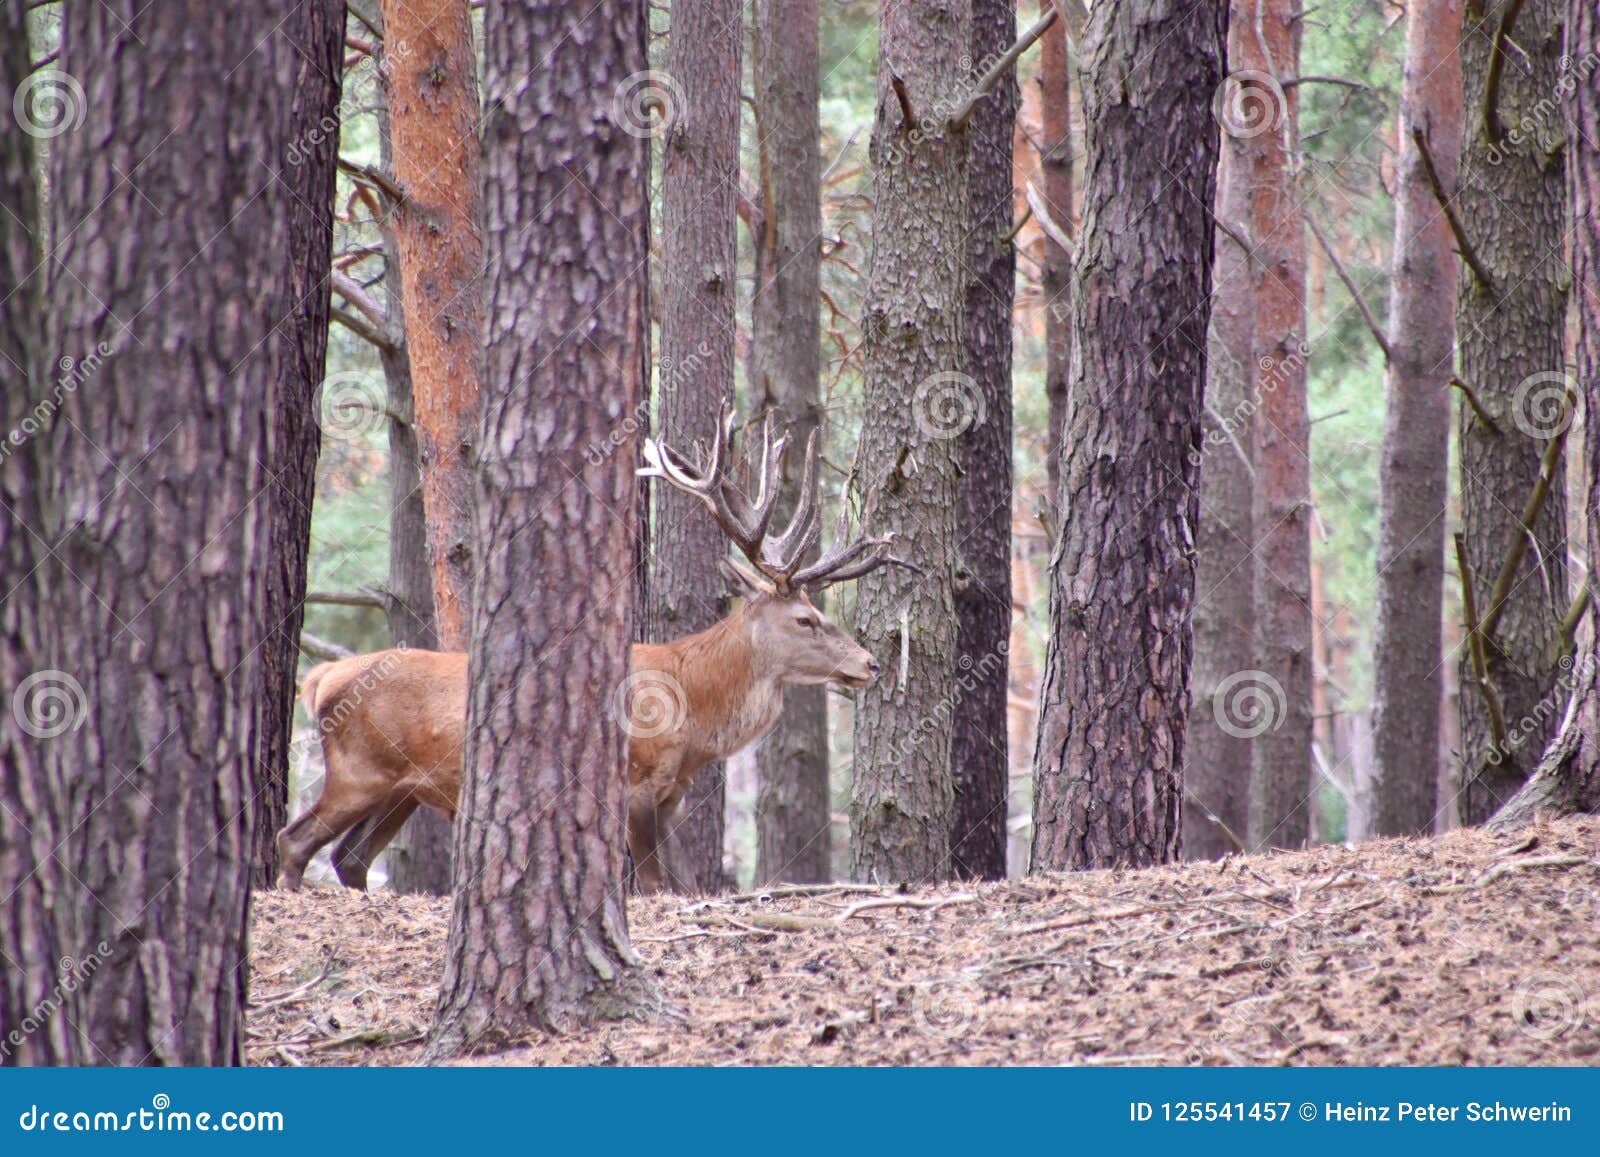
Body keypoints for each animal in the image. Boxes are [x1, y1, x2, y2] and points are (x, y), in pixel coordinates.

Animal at [276, 408, 912, 894]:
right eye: (806, 619)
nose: (870, 663)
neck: (695, 714)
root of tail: (322, 678)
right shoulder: (636, 782)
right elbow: (655, 886)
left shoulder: (673, 794)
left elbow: (679, 884)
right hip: (355, 769)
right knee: (296, 838)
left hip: (399, 788)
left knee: (350, 859)